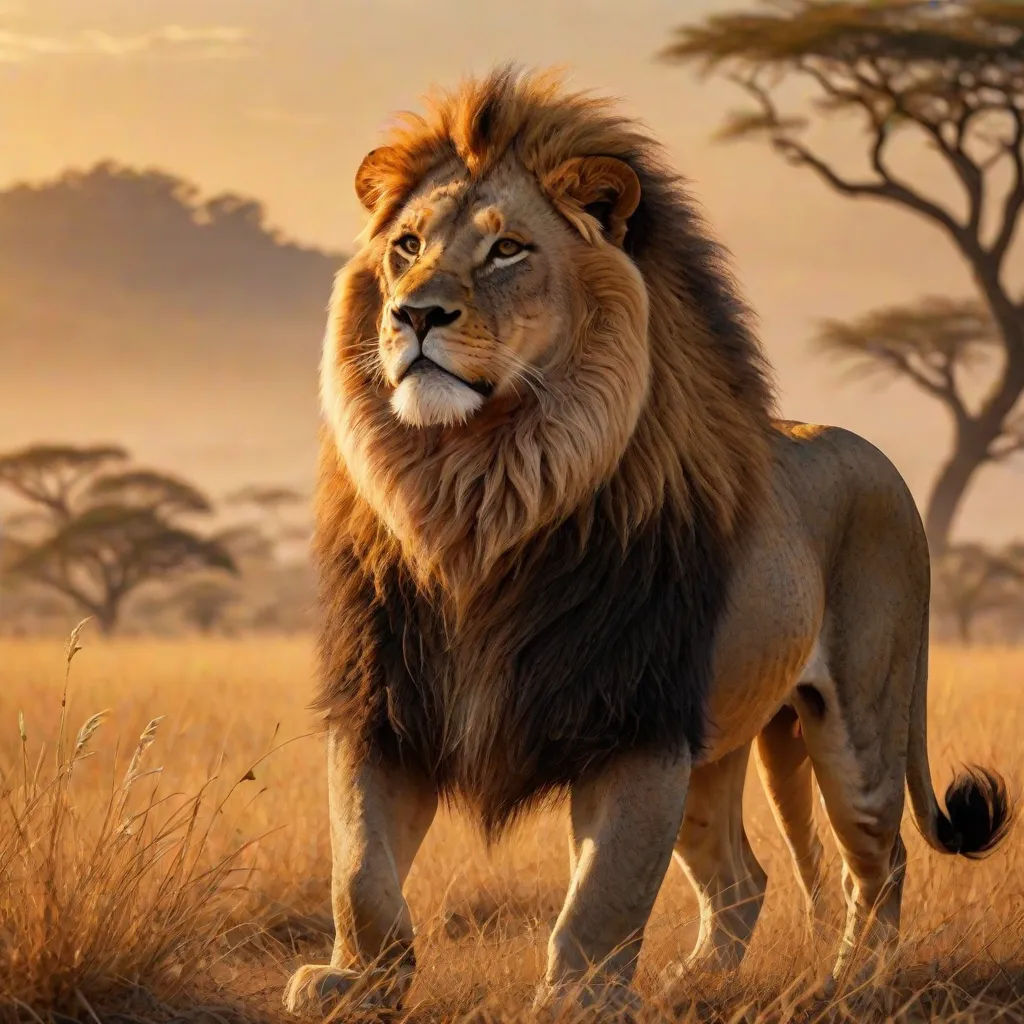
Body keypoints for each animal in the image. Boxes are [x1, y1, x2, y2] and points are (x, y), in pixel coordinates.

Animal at [285, 68, 1012, 1016]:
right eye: (406, 246)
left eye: (508, 250)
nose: (414, 315)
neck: (476, 491)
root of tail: (882, 465)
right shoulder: (385, 701)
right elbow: (360, 866)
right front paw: (356, 982)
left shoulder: (635, 718)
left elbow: (606, 889)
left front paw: (579, 999)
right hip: (727, 747)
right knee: (744, 877)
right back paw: (697, 977)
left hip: (859, 725)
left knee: (881, 861)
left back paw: (854, 983)